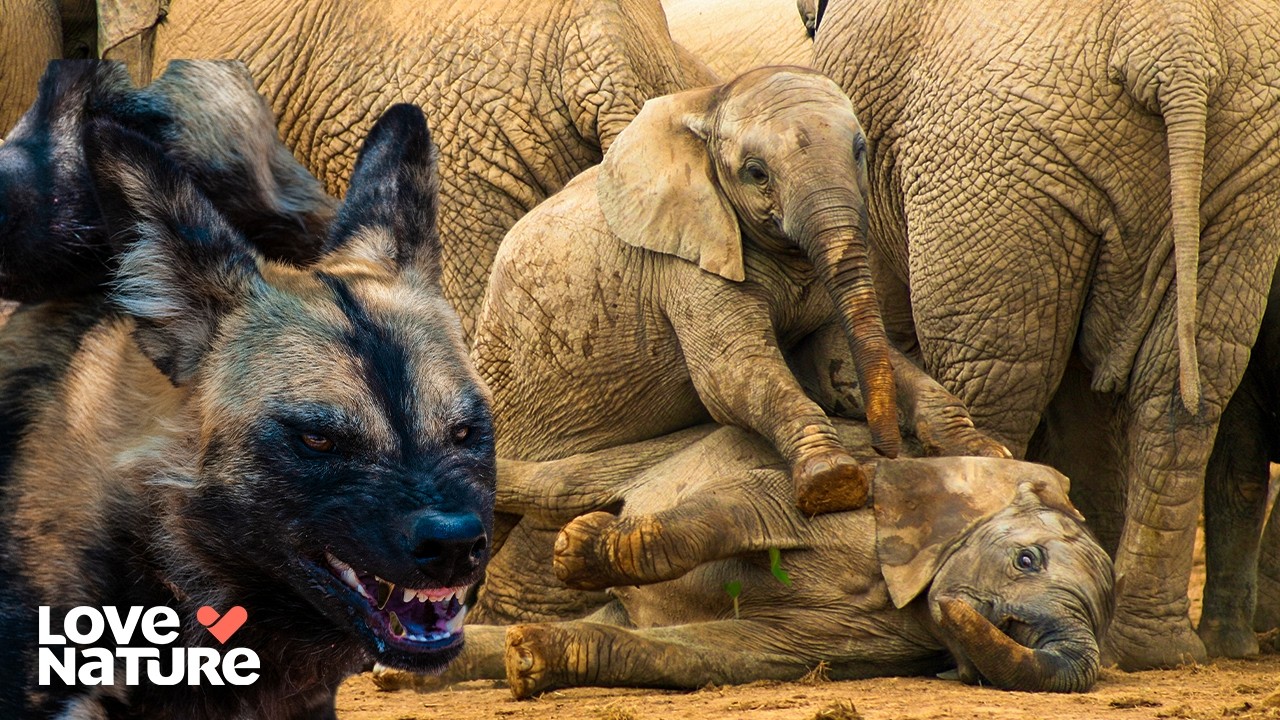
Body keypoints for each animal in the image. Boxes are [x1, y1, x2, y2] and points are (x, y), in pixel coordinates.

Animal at [374, 419, 1115, 695]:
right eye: (1027, 561)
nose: (978, 613)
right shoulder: (860, 488)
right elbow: (743, 506)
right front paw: (579, 547)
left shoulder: (878, 640)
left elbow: (723, 655)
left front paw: (531, 659)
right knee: (556, 483)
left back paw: (400, 671)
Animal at [811, 0, 1280, 669]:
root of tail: (1175, 50)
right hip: (1237, 177)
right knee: (1183, 394)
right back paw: (1149, 652)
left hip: (996, 171)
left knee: (996, 379)